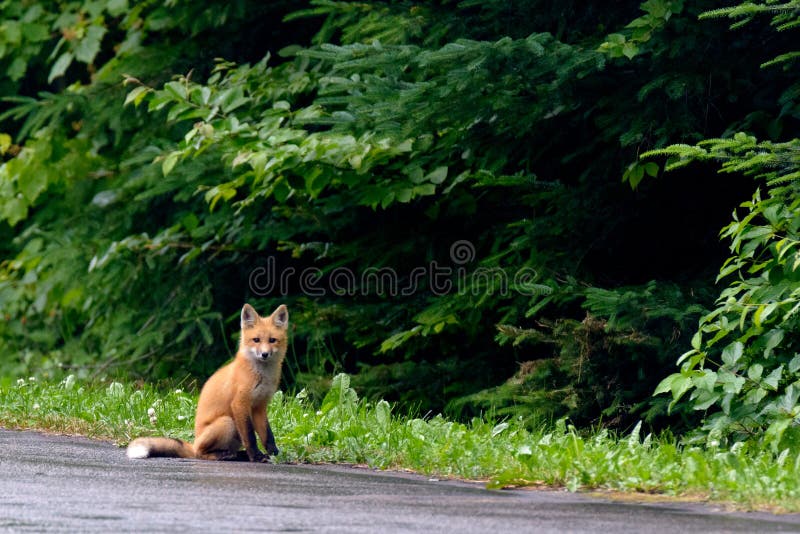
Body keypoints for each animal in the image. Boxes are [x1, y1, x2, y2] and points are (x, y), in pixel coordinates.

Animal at [126, 303, 288, 462]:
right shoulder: (240, 403)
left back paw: (239, 455)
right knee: (201, 453)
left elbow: (267, 435)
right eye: (256, 340)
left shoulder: (260, 406)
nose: (265, 354)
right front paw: (256, 456)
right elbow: (250, 437)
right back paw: (222, 455)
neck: (261, 375)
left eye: (272, 340)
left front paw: (274, 453)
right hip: (227, 423)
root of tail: (194, 444)